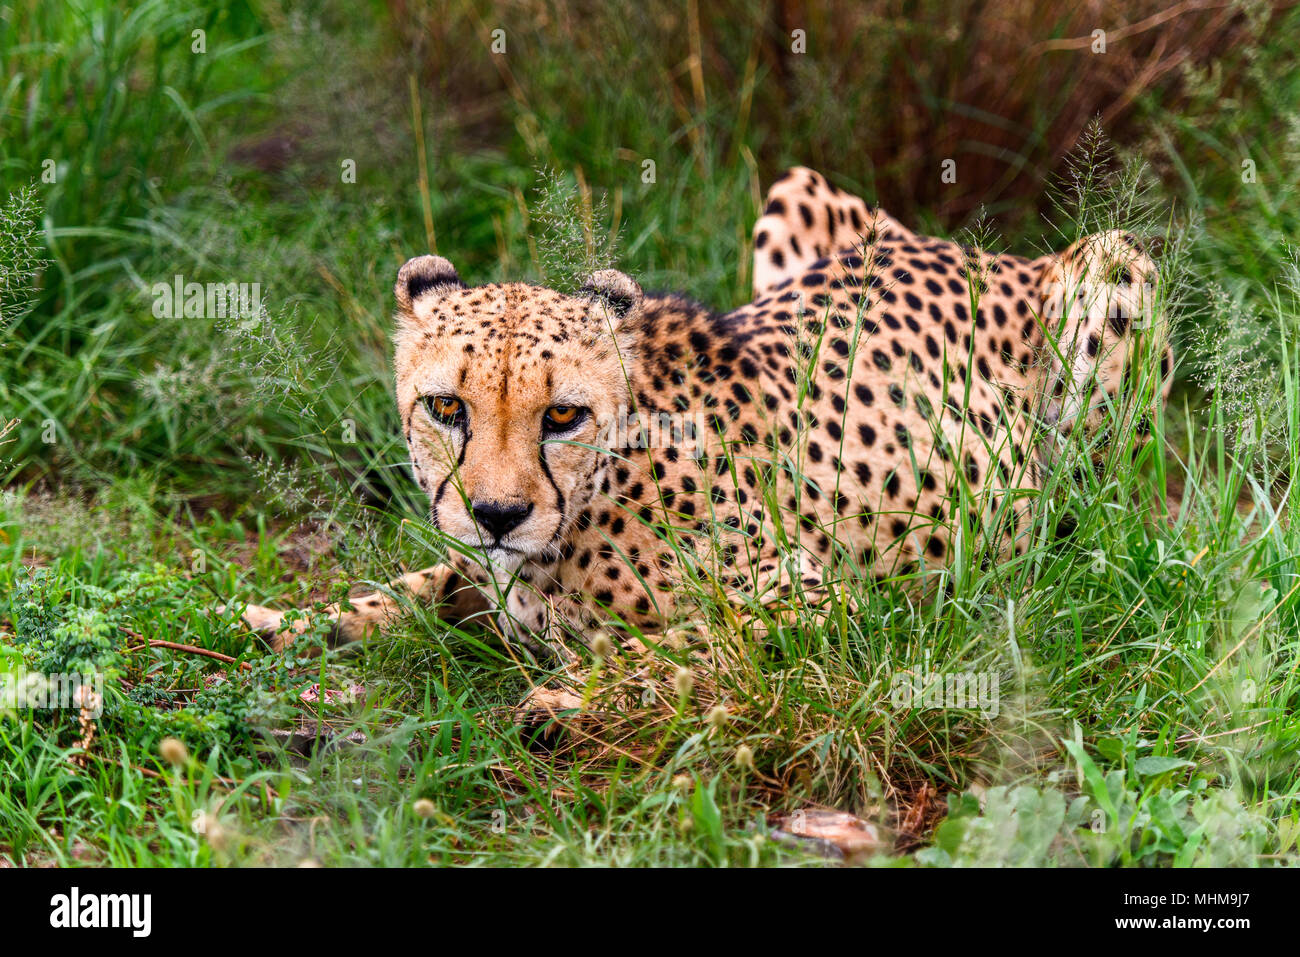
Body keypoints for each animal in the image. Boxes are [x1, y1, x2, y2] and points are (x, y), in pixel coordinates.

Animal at [233, 166, 1173, 658]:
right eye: (445, 407)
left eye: (563, 416)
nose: (498, 513)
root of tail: (976, 248)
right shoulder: (477, 566)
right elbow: (422, 580)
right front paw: (290, 617)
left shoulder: (814, 602)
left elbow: (676, 644)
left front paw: (564, 696)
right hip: (797, 190)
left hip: (1115, 267)